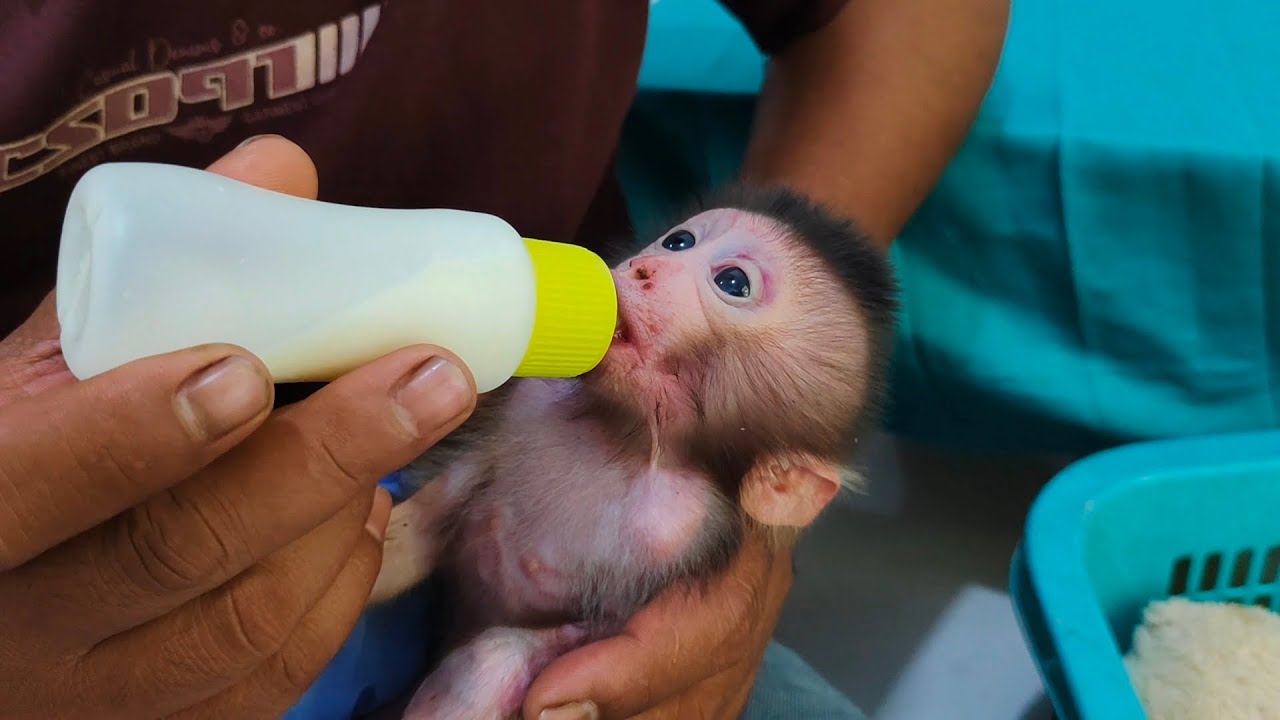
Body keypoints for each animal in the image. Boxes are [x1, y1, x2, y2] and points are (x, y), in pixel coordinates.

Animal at [365, 183, 899, 719]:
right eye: (679, 242)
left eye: (732, 282)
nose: (645, 268)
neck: (620, 435)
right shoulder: (524, 409)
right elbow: (433, 515)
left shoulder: (676, 531)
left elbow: (540, 646)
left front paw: (477, 680)